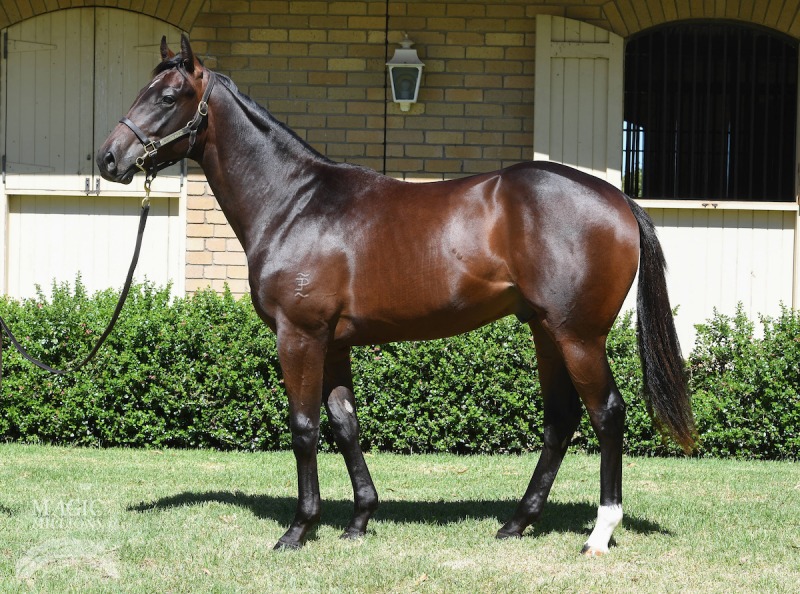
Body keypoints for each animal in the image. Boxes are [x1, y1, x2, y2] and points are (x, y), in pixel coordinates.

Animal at [97, 35, 696, 556]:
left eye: (168, 96)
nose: (109, 158)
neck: (294, 203)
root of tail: (618, 199)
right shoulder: (334, 342)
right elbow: (345, 425)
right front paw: (359, 519)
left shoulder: (300, 336)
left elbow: (304, 428)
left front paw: (298, 529)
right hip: (546, 330)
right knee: (561, 419)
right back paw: (516, 522)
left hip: (578, 335)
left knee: (606, 414)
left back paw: (599, 533)